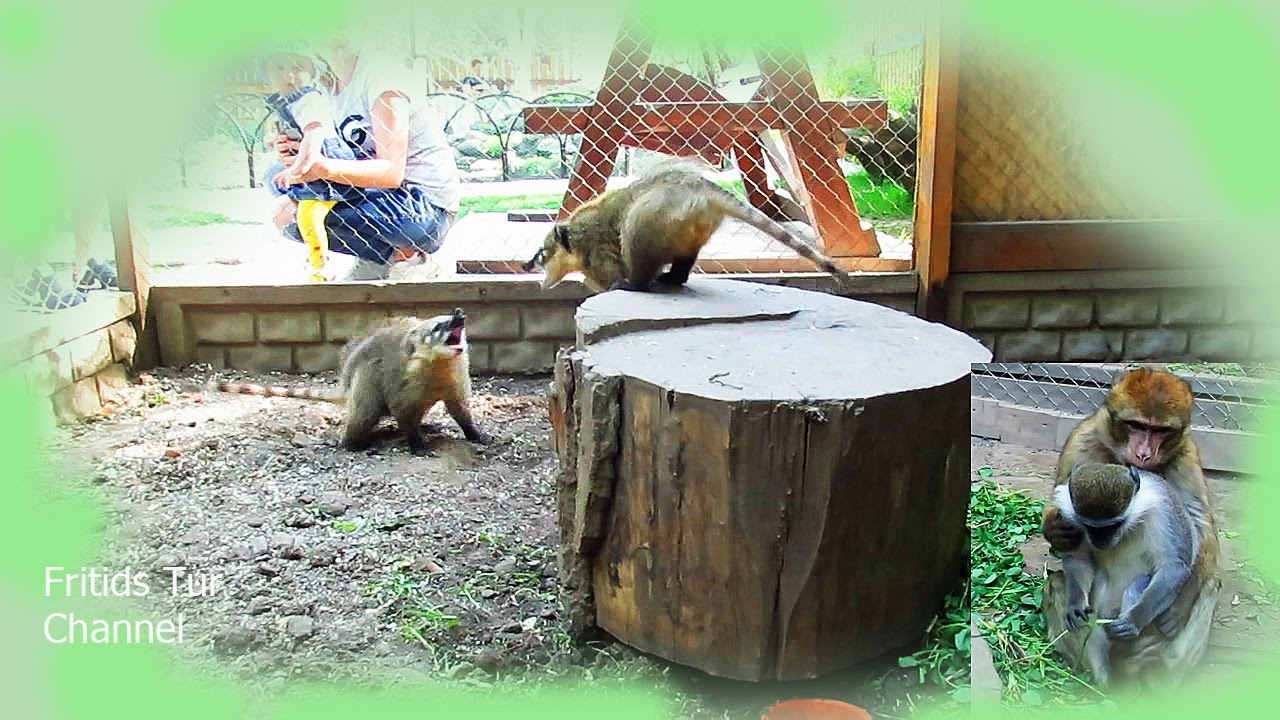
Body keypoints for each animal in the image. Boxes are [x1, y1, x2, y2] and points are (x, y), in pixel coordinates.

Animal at [210, 309, 487, 454]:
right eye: (439, 326)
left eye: (452, 316)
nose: (460, 314)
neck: (440, 365)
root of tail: (346, 381)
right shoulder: (402, 379)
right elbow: (401, 410)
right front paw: (415, 441)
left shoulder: (456, 377)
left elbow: (460, 408)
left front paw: (472, 431)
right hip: (365, 380)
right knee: (364, 413)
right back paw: (350, 443)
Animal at [520, 163, 852, 293]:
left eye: (542, 254)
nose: (525, 265)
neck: (574, 236)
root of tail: (699, 187)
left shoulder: (597, 249)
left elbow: (609, 270)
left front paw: (612, 283)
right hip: (691, 225)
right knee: (686, 255)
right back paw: (675, 276)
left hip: (657, 213)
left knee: (635, 238)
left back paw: (635, 283)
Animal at [1041, 366, 1220, 637]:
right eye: (1136, 425)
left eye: (1161, 431)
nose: (1144, 454)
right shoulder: (1081, 445)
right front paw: (1055, 528)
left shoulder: (1185, 455)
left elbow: (1199, 525)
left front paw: (1180, 606)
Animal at [1048, 462, 1216, 688]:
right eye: (1090, 526)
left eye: (1113, 525)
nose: (1100, 540)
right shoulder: (1070, 517)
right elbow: (1078, 558)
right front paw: (1075, 605)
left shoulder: (1164, 508)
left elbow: (1174, 566)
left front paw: (1133, 621)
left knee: (1139, 584)